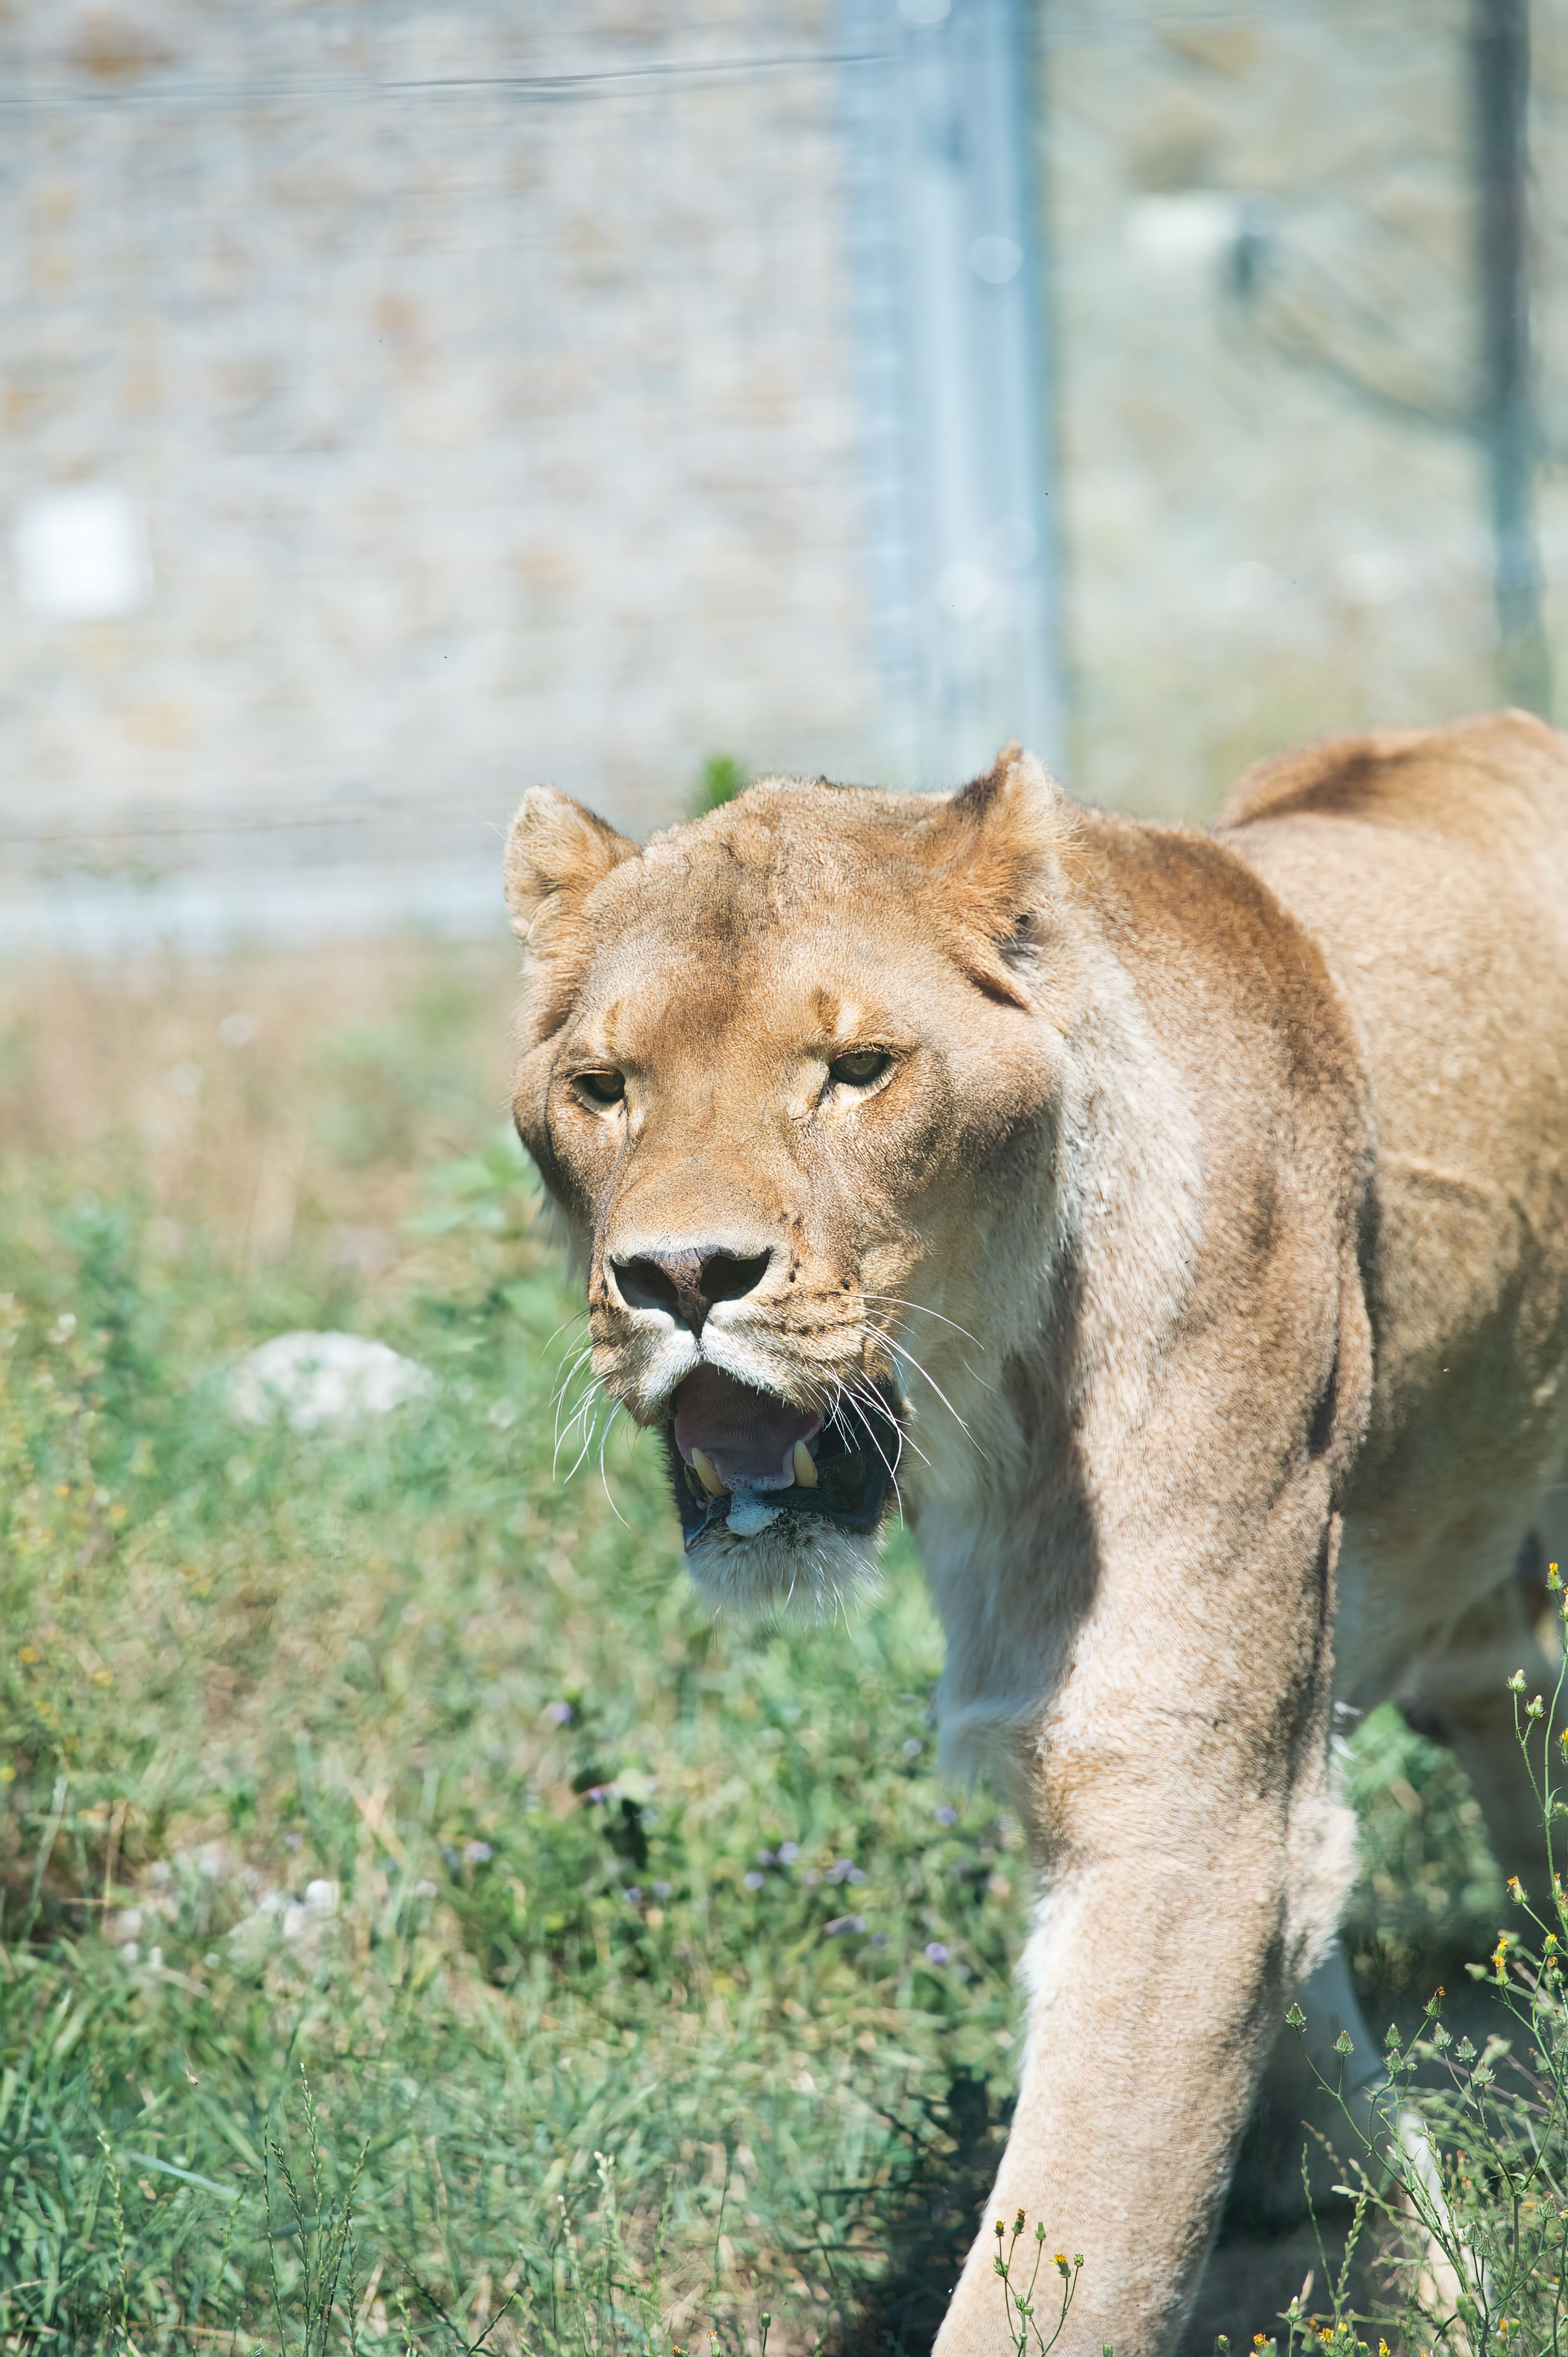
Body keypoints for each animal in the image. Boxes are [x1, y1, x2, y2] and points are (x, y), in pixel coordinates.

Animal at [503, 710, 1568, 2356]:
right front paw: (1410, 2272)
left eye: (858, 1068)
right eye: (605, 1085)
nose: (679, 1275)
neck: (979, 1424)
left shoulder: (1172, 1800)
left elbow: (1072, 2243)